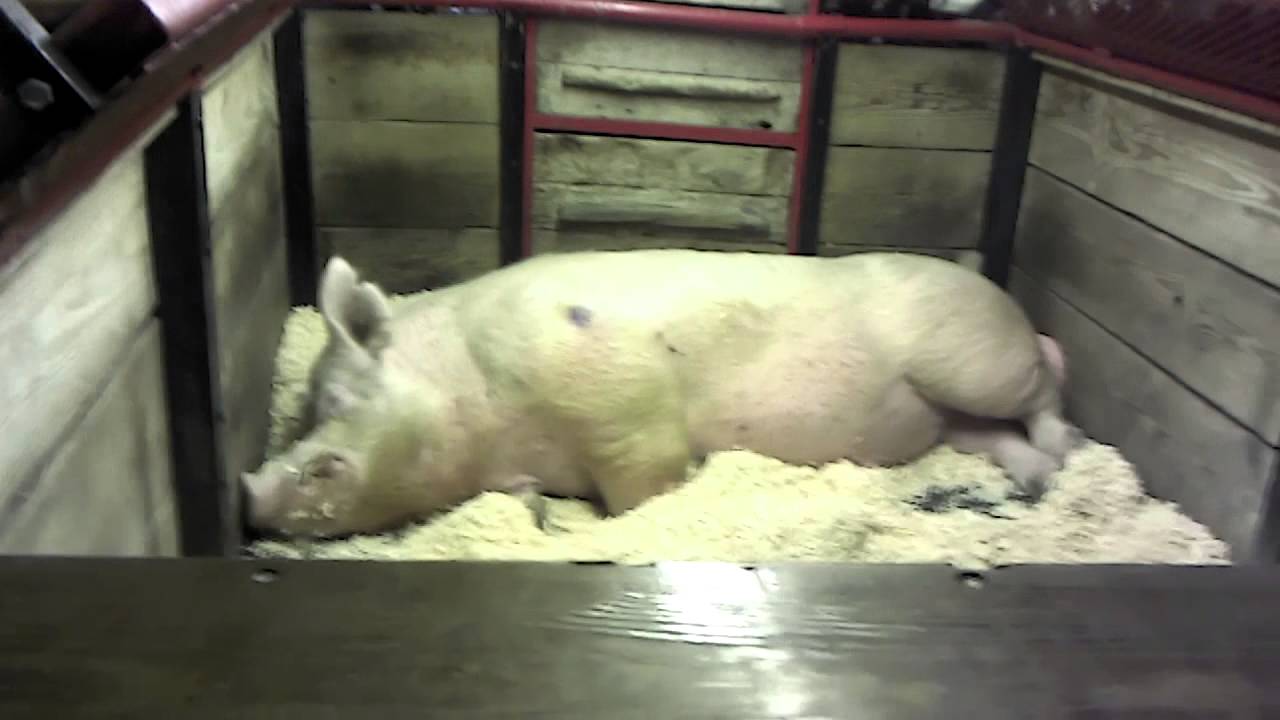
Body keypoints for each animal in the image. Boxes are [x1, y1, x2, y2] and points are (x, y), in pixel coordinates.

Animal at [242, 249, 1083, 539]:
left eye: (336, 406)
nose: (248, 494)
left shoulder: (620, 403)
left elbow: (644, 488)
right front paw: (541, 516)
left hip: (978, 364)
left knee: (1049, 378)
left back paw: (1064, 451)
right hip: (948, 420)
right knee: (992, 437)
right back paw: (1040, 482)